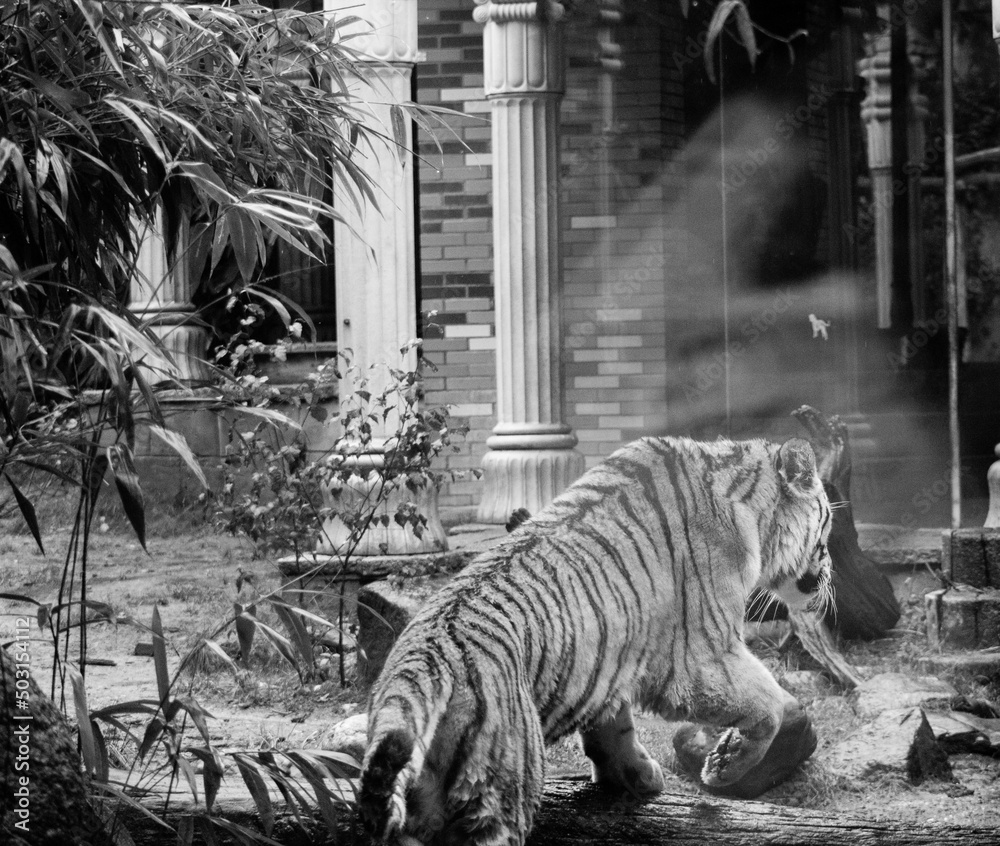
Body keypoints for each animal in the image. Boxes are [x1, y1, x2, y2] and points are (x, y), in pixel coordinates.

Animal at [359, 435, 834, 846]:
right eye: (827, 529)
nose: (829, 575)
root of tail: (423, 659)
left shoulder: (611, 659)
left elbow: (614, 727)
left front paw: (636, 776)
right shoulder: (701, 659)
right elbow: (770, 703)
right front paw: (724, 767)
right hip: (496, 799)